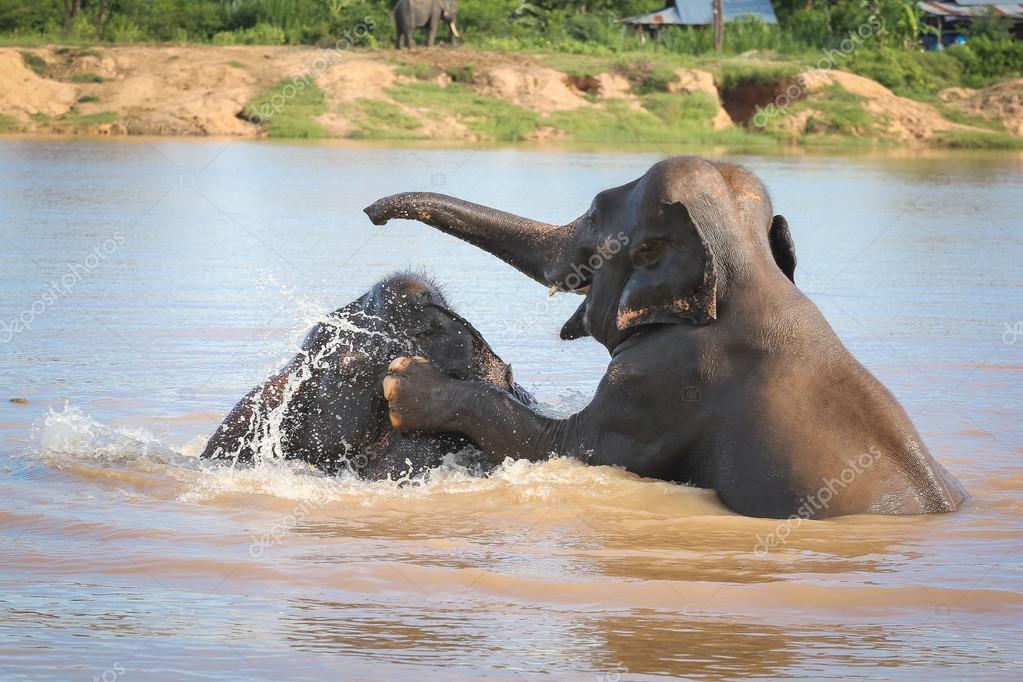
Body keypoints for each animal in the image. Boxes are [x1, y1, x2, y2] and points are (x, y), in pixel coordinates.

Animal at [364, 157, 967, 518]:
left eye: (592, 219)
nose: (372, 213)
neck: (743, 272)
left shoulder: (664, 381)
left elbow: (565, 446)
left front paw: (405, 384)